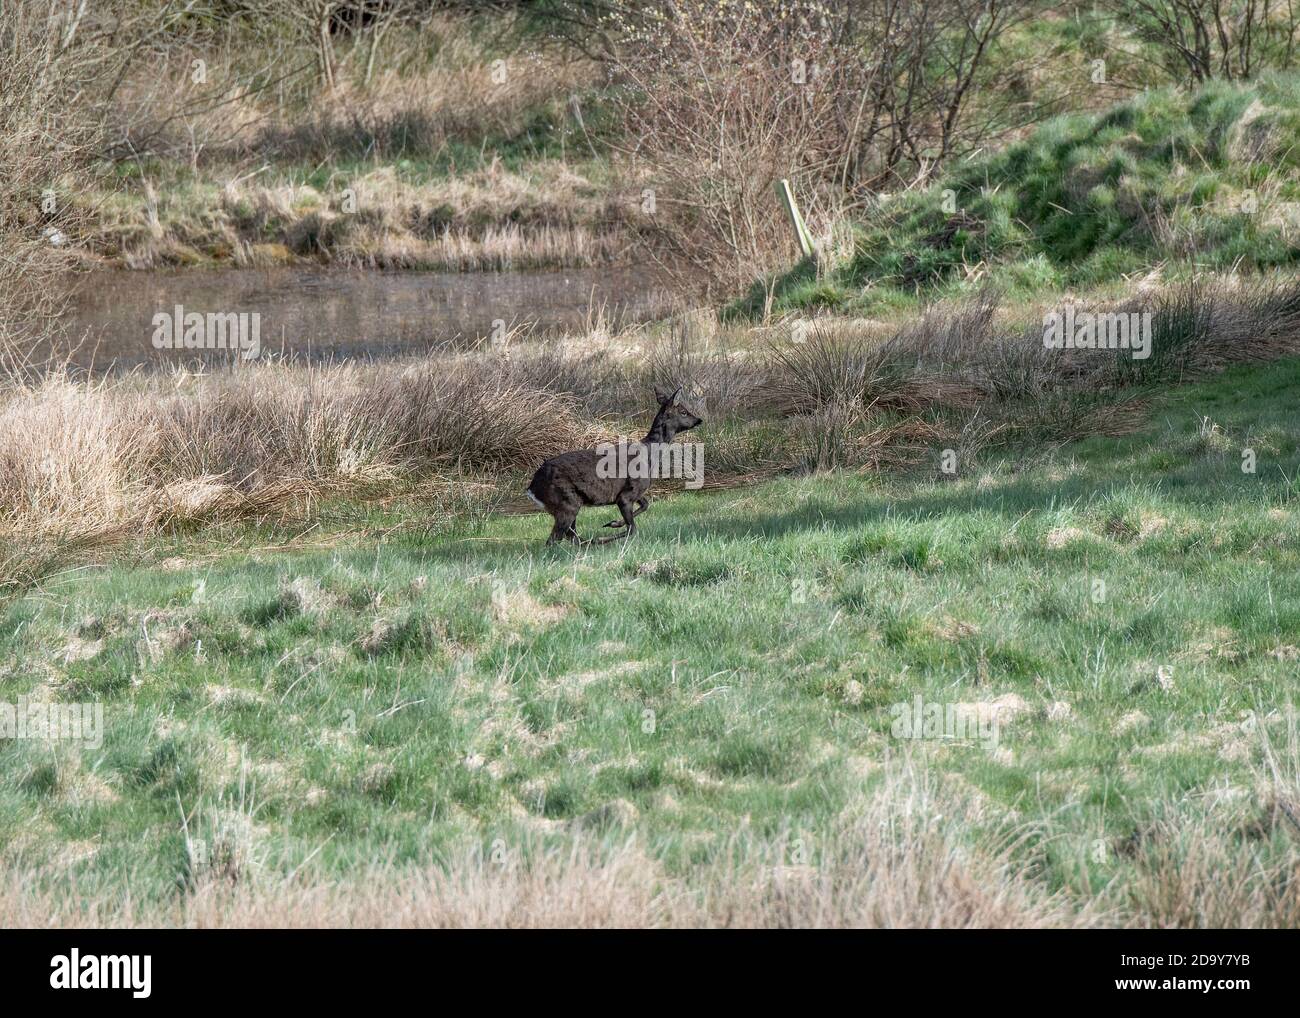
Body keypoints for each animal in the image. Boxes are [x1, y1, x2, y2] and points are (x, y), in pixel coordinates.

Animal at [525, 385, 704, 545]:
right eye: (683, 411)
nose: (699, 420)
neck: (649, 456)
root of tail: (532, 488)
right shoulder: (625, 495)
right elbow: (632, 529)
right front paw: (609, 529)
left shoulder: (635, 491)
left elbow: (646, 505)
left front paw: (614, 523)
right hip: (566, 501)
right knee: (555, 539)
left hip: (568, 504)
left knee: (571, 537)